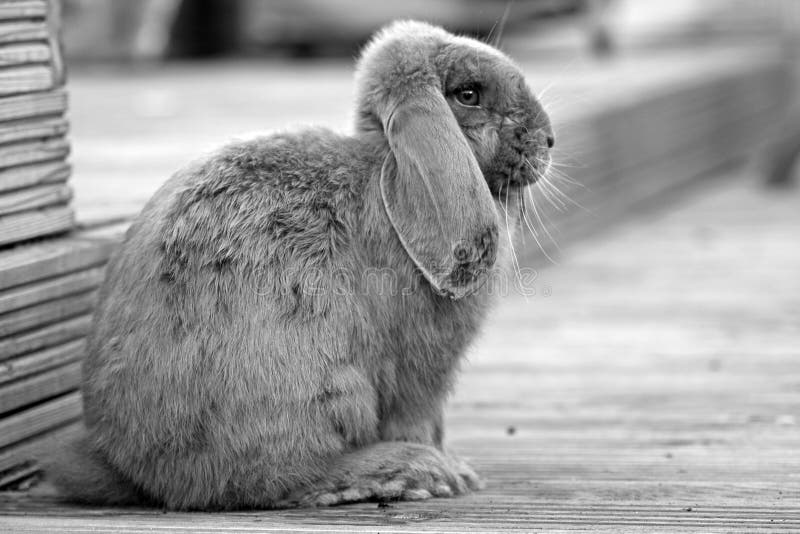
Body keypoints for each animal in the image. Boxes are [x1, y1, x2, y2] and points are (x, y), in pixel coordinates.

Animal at [47, 20, 554, 510]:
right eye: (468, 94)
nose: (548, 139)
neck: (387, 168)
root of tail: (141, 468)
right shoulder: (421, 373)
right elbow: (418, 418)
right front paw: (456, 471)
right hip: (324, 386)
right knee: (271, 479)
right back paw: (415, 470)